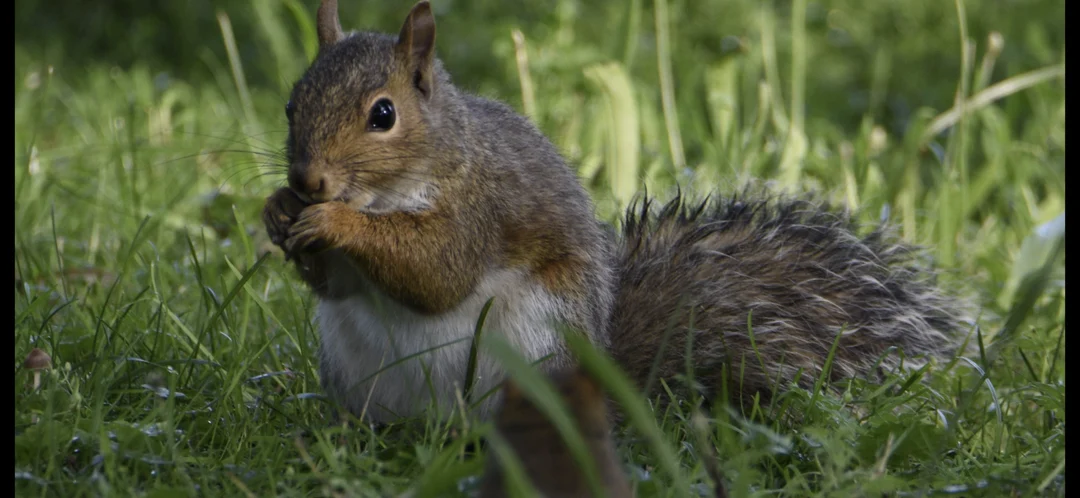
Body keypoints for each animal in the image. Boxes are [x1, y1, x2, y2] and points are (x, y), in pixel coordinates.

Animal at [262, 0, 973, 425]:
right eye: (291, 104)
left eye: (383, 114)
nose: (307, 179)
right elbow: (335, 283)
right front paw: (277, 211)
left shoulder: (479, 211)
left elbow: (437, 273)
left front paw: (333, 222)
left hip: (528, 355)